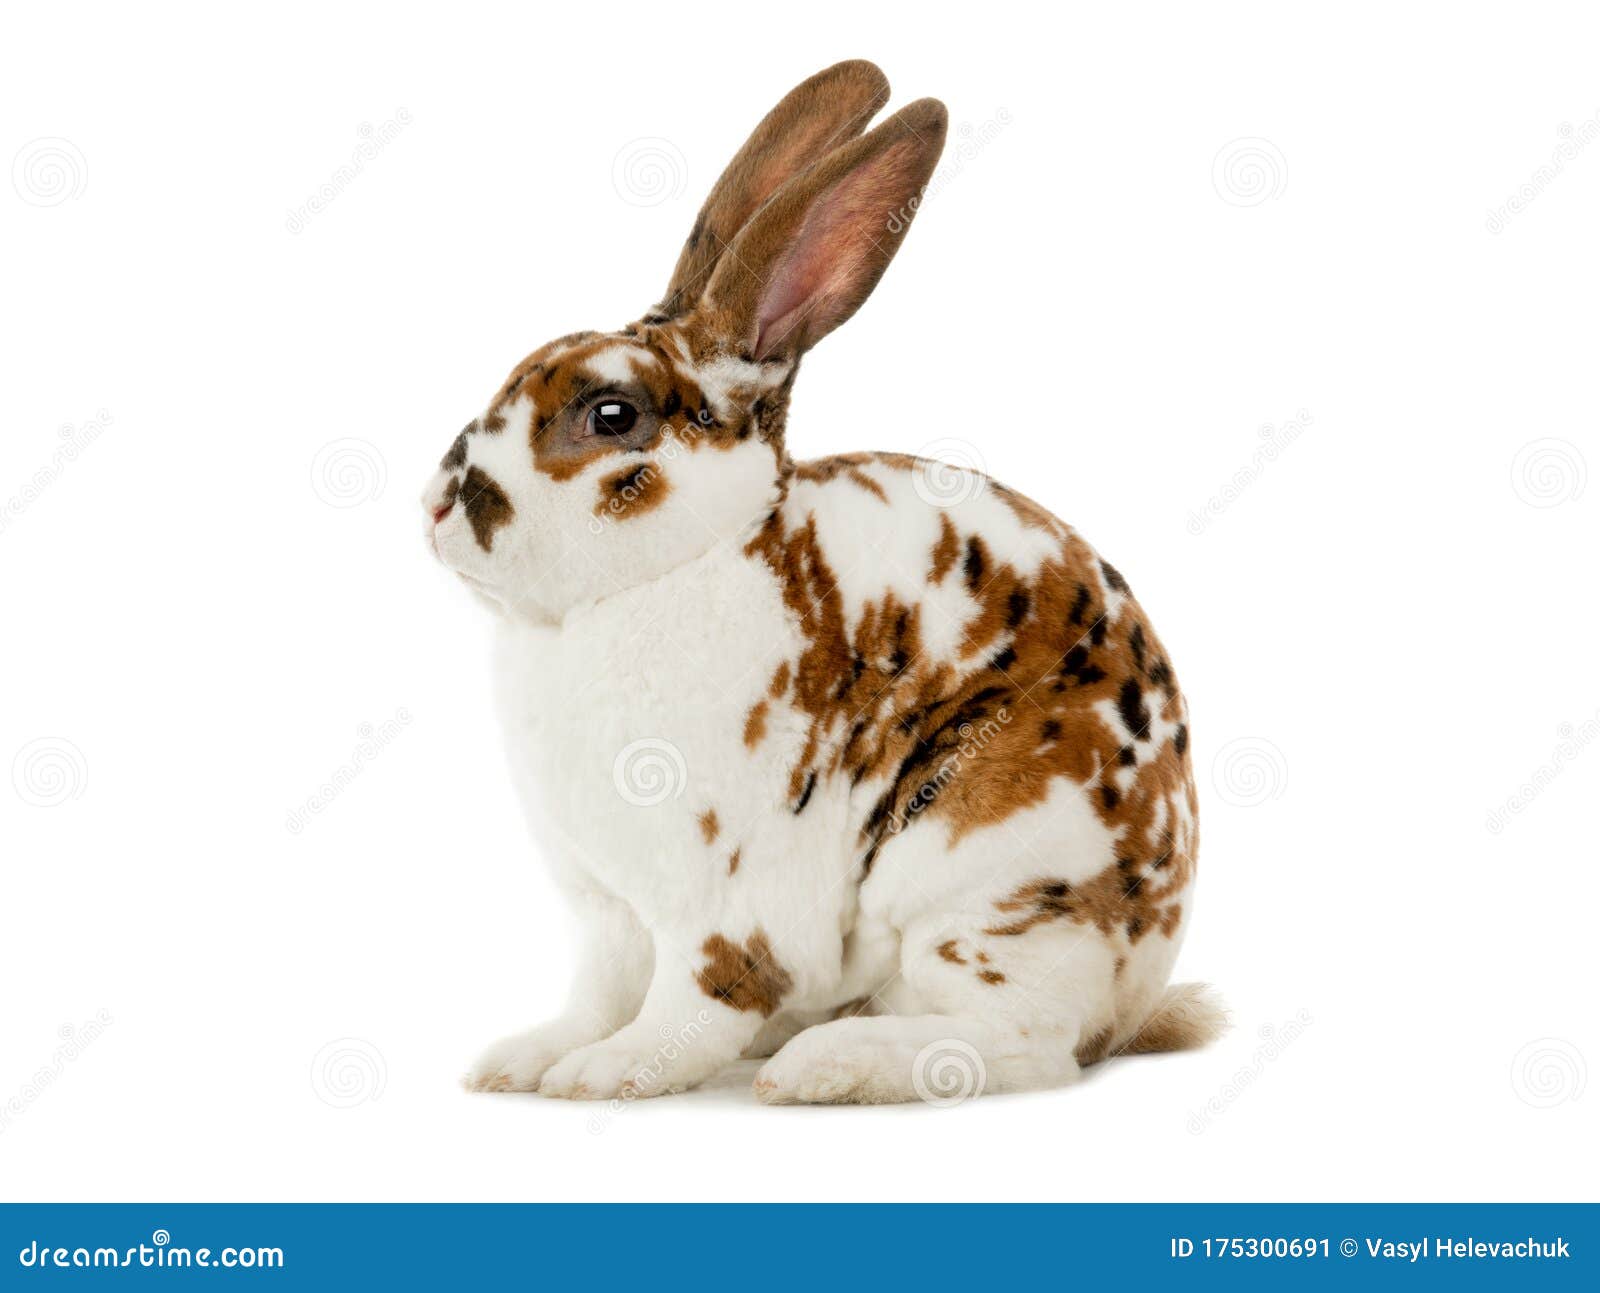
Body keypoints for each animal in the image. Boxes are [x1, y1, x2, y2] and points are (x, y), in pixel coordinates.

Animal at [425, 59, 1224, 1104]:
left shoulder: (720, 906)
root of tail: (1135, 995)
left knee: (1017, 1044)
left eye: (611, 415)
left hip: (980, 881)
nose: (442, 506)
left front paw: (608, 1072)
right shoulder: (606, 912)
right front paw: (528, 1059)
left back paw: (824, 1065)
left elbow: (693, 1005)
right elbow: (598, 991)